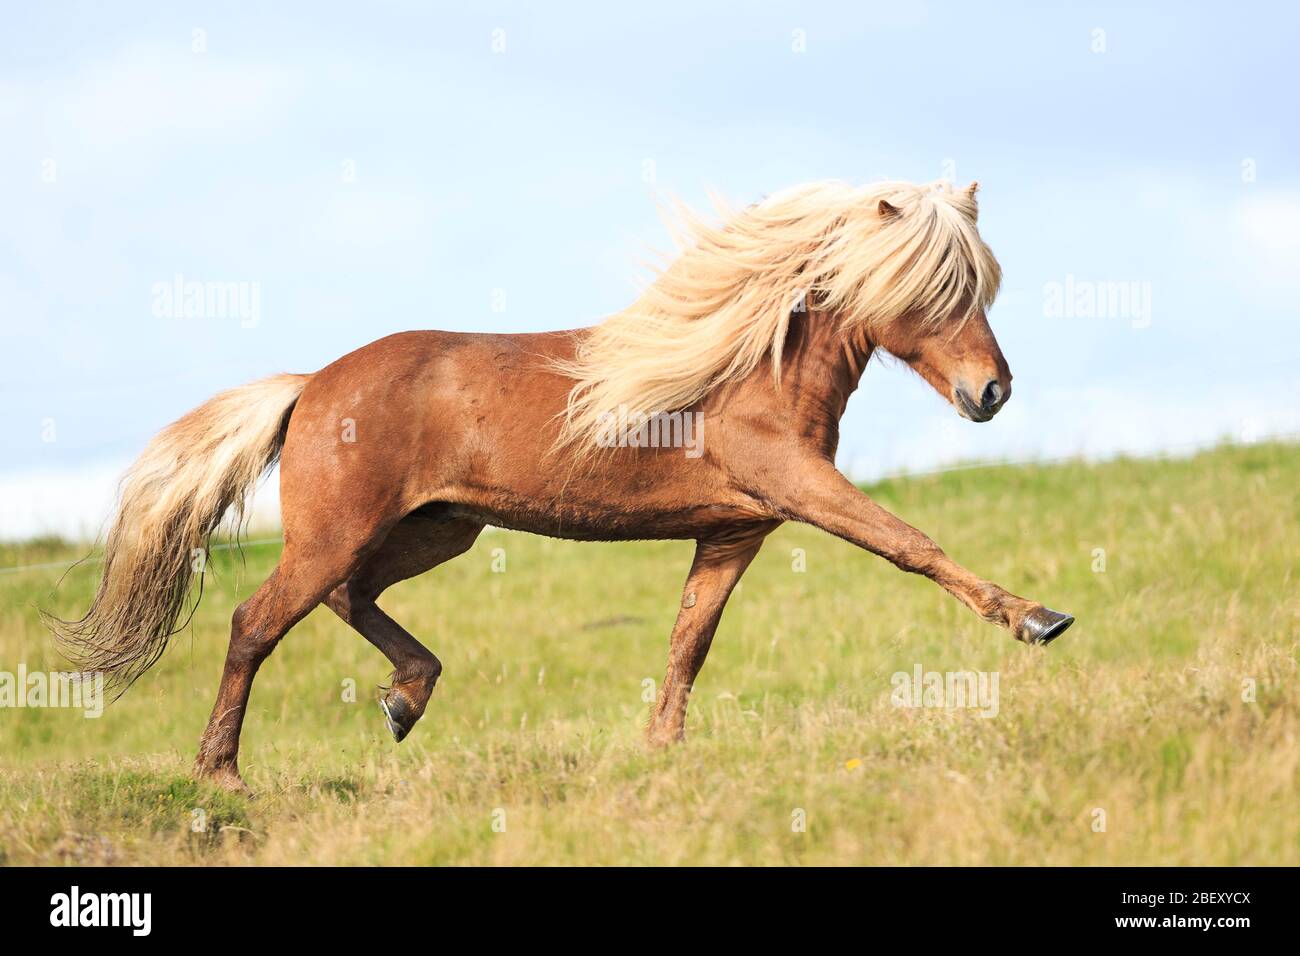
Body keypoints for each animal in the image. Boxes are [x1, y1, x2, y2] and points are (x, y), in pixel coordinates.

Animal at [48, 179, 1074, 793]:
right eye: (936, 288)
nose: (991, 393)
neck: (752, 368)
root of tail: (310, 387)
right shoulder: (798, 486)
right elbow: (910, 545)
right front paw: (1038, 619)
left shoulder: (734, 532)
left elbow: (689, 642)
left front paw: (661, 751)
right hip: (342, 532)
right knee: (255, 621)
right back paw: (221, 775)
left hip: (434, 530)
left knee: (348, 598)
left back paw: (405, 700)